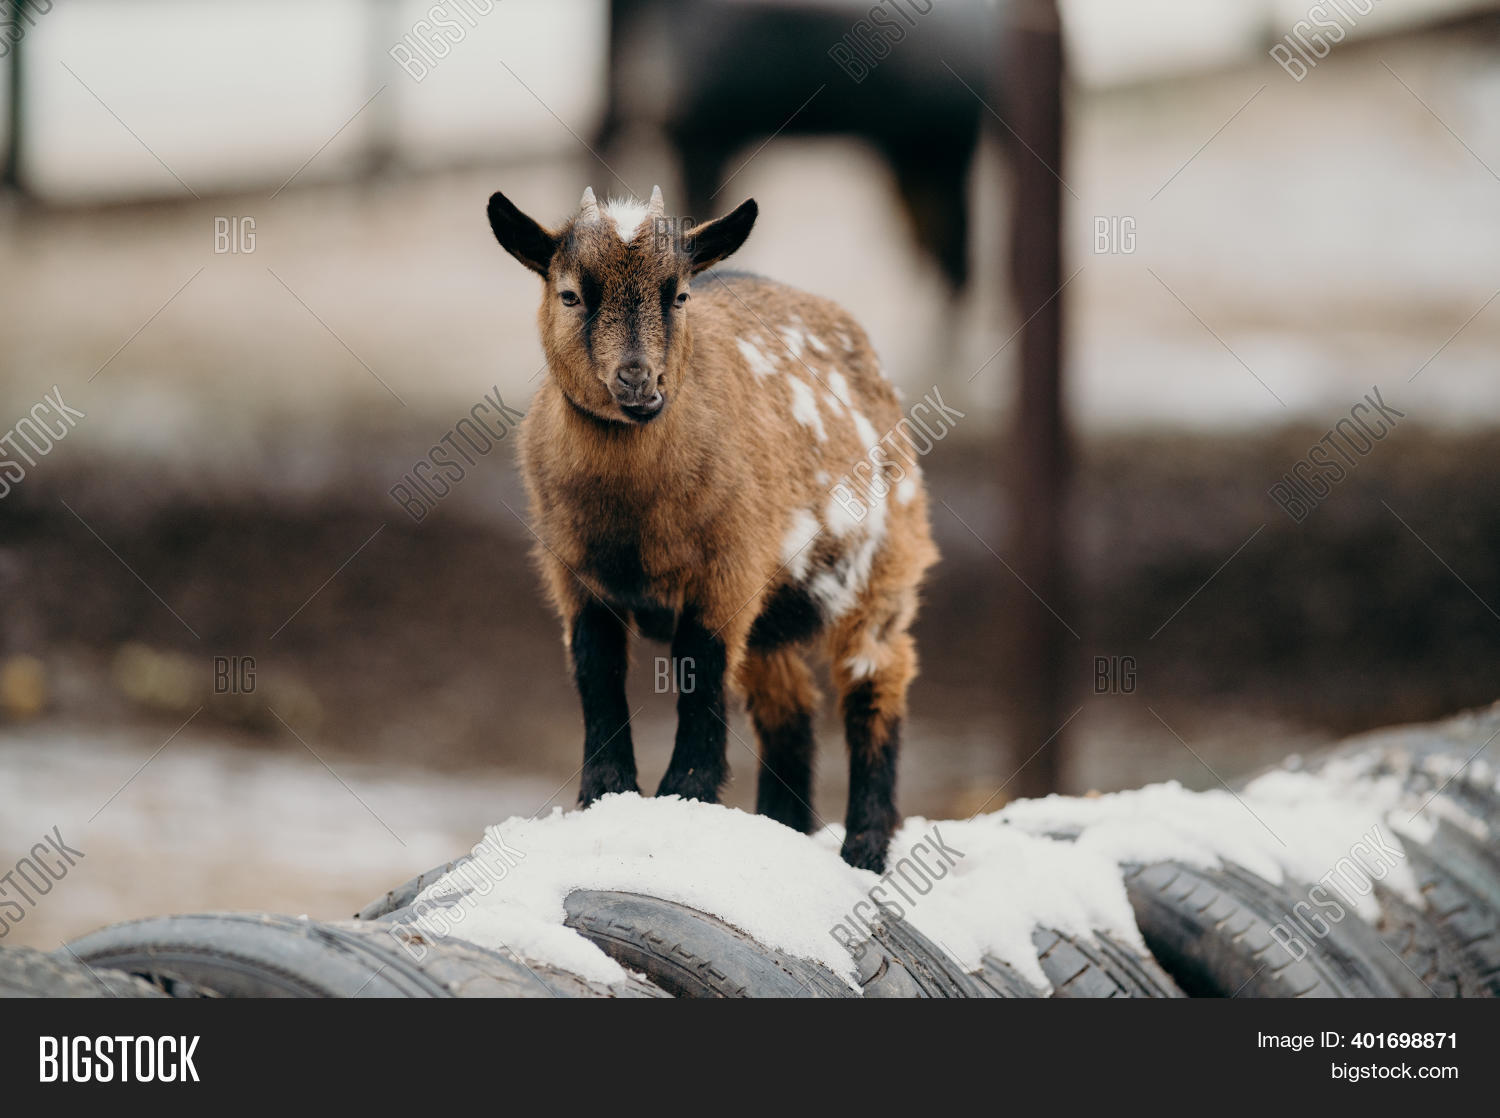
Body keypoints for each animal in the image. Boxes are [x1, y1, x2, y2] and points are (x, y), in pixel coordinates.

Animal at [486, 185, 938, 871]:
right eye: (569, 294)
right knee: (790, 710)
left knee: (875, 684)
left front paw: (686, 792)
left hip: (885, 570)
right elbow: (596, 668)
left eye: (679, 295)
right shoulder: (574, 572)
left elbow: (699, 666)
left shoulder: (729, 569)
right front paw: (606, 792)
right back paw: (782, 827)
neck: (634, 514)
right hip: (777, 620)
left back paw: (864, 846)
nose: (637, 381)